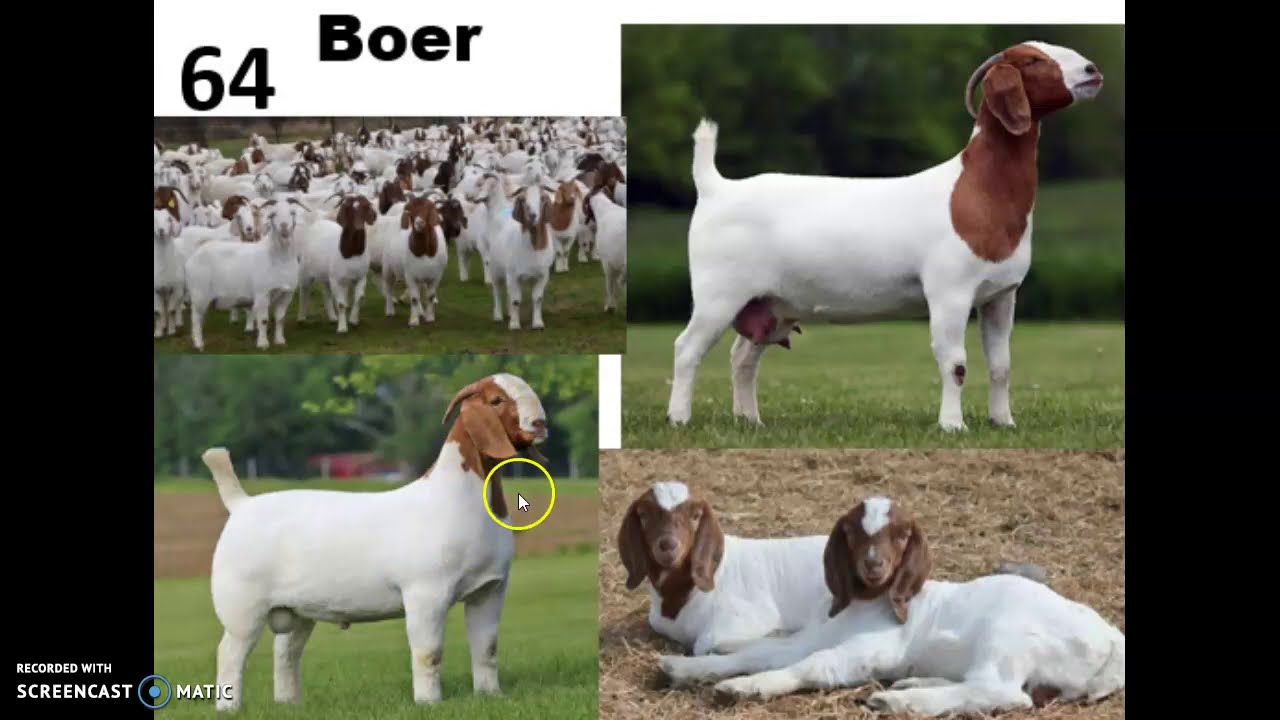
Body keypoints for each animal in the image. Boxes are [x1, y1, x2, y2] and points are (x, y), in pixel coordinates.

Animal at [201, 373, 549, 711]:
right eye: (496, 400)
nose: (540, 424)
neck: (457, 496)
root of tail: (242, 504)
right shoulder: (426, 593)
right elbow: (428, 652)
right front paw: (429, 702)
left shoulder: (489, 590)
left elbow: (487, 648)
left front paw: (491, 696)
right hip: (242, 606)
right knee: (230, 652)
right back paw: (229, 708)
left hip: (298, 610)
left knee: (285, 652)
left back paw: (289, 703)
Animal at [659, 496, 1124, 718]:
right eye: (851, 533)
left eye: (901, 536)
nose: (874, 565)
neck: (864, 607)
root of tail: (1110, 637)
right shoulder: (814, 634)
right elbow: (760, 651)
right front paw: (684, 668)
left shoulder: (874, 648)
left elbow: (814, 665)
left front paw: (746, 688)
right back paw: (913, 685)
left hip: (1007, 636)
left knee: (1002, 692)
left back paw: (901, 703)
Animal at [666, 42, 1104, 431]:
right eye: (1032, 60)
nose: (1091, 70)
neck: (974, 189)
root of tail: (717, 187)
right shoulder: (949, 292)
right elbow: (955, 364)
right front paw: (952, 425)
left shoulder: (1000, 296)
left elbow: (1001, 366)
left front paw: (1004, 422)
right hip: (718, 293)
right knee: (687, 349)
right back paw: (679, 419)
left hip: (769, 303)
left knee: (742, 357)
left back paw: (750, 421)